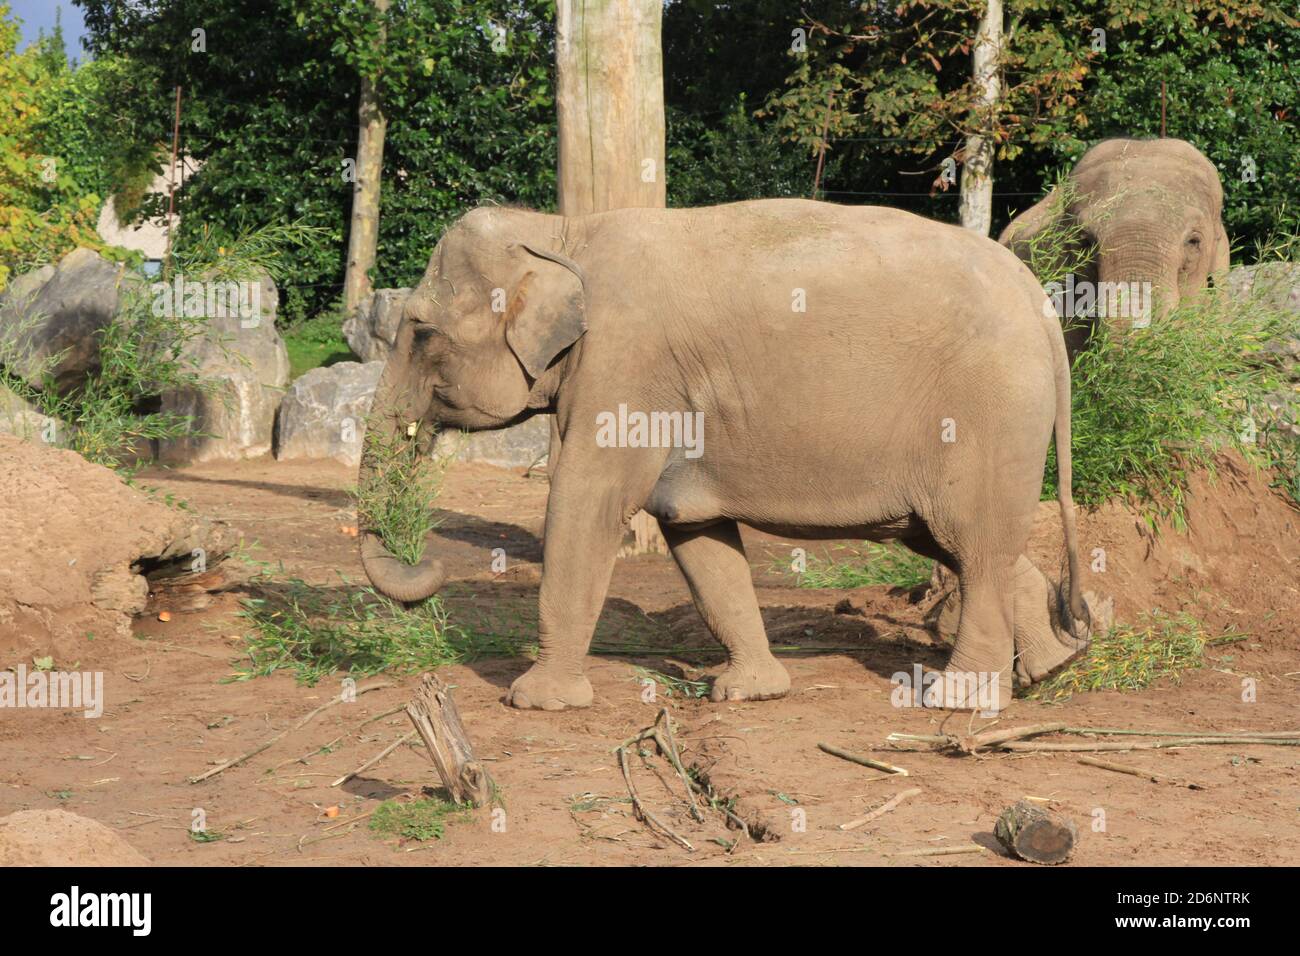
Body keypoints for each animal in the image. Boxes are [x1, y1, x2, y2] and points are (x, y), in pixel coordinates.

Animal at [358, 199, 1093, 712]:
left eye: (419, 331)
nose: (424, 560)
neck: (563, 230)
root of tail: (1040, 303)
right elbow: (693, 527)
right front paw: (749, 691)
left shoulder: (626, 365)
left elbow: (585, 503)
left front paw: (535, 701)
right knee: (967, 543)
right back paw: (1053, 666)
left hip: (987, 413)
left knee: (972, 541)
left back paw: (957, 700)